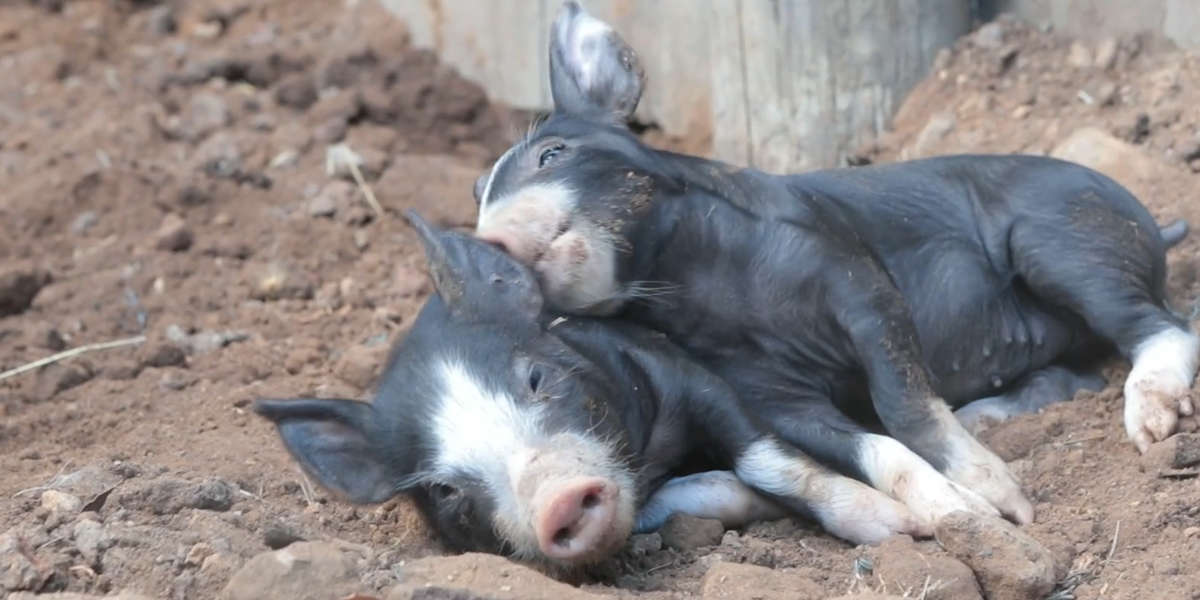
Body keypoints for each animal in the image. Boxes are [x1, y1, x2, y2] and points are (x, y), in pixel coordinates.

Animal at [255, 212, 923, 570]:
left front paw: (901, 529)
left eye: (535, 377)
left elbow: (770, 459)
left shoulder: (688, 373)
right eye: (445, 490)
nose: (558, 499)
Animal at [472, 1, 1198, 531]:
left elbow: (904, 404)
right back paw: (992, 416)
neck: (708, 286)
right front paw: (963, 516)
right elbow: (869, 445)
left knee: (1161, 324)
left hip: (1064, 237)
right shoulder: (760, 391)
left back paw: (1151, 428)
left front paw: (1011, 509)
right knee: (1079, 372)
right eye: (477, 196)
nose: (488, 242)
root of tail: (1152, 224)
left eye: (553, 153)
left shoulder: (854, 278)